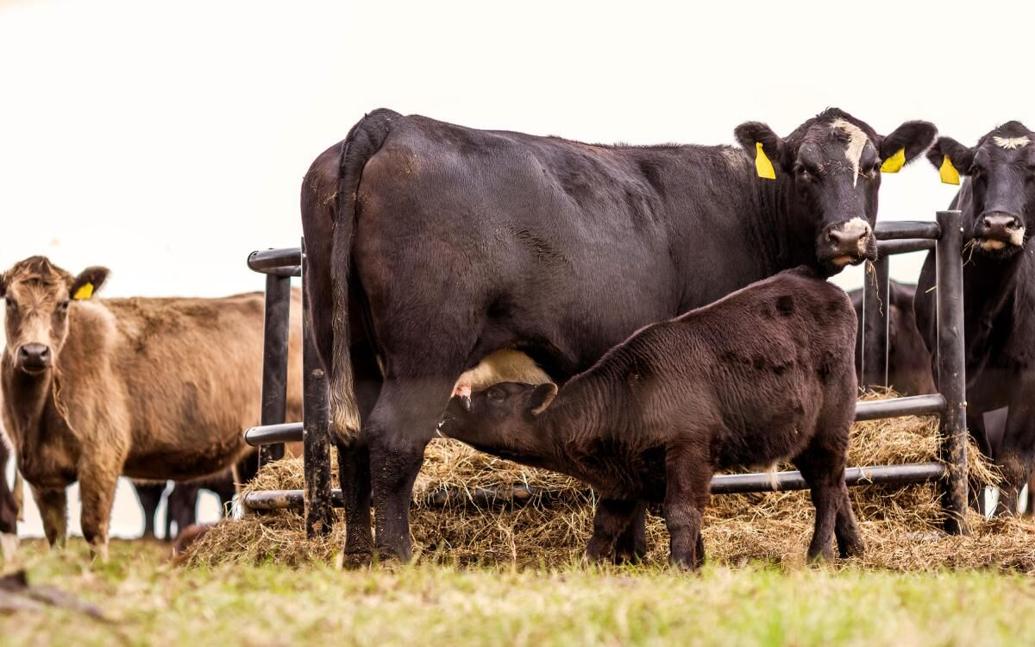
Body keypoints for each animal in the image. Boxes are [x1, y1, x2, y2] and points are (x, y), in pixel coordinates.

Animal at [0, 257, 303, 559]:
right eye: (10, 301)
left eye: (63, 304)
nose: (35, 352)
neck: (34, 420)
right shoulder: (42, 476)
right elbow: (55, 537)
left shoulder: (101, 457)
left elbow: (93, 529)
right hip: (251, 453)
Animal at [437, 267, 862, 568]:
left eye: (496, 394)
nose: (448, 408)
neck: (629, 396)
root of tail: (825, 288)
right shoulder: (626, 477)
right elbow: (607, 523)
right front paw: (587, 566)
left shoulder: (689, 454)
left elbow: (681, 514)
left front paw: (680, 566)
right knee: (836, 484)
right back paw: (854, 549)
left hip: (829, 428)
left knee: (826, 488)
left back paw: (820, 555)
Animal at [915, 121, 1035, 515]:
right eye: (979, 169)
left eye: (1034, 169)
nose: (999, 223)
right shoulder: (951, 376)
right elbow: (975, 456)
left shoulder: (1029, 377)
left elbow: (1013, 462)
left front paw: (1005, 521)